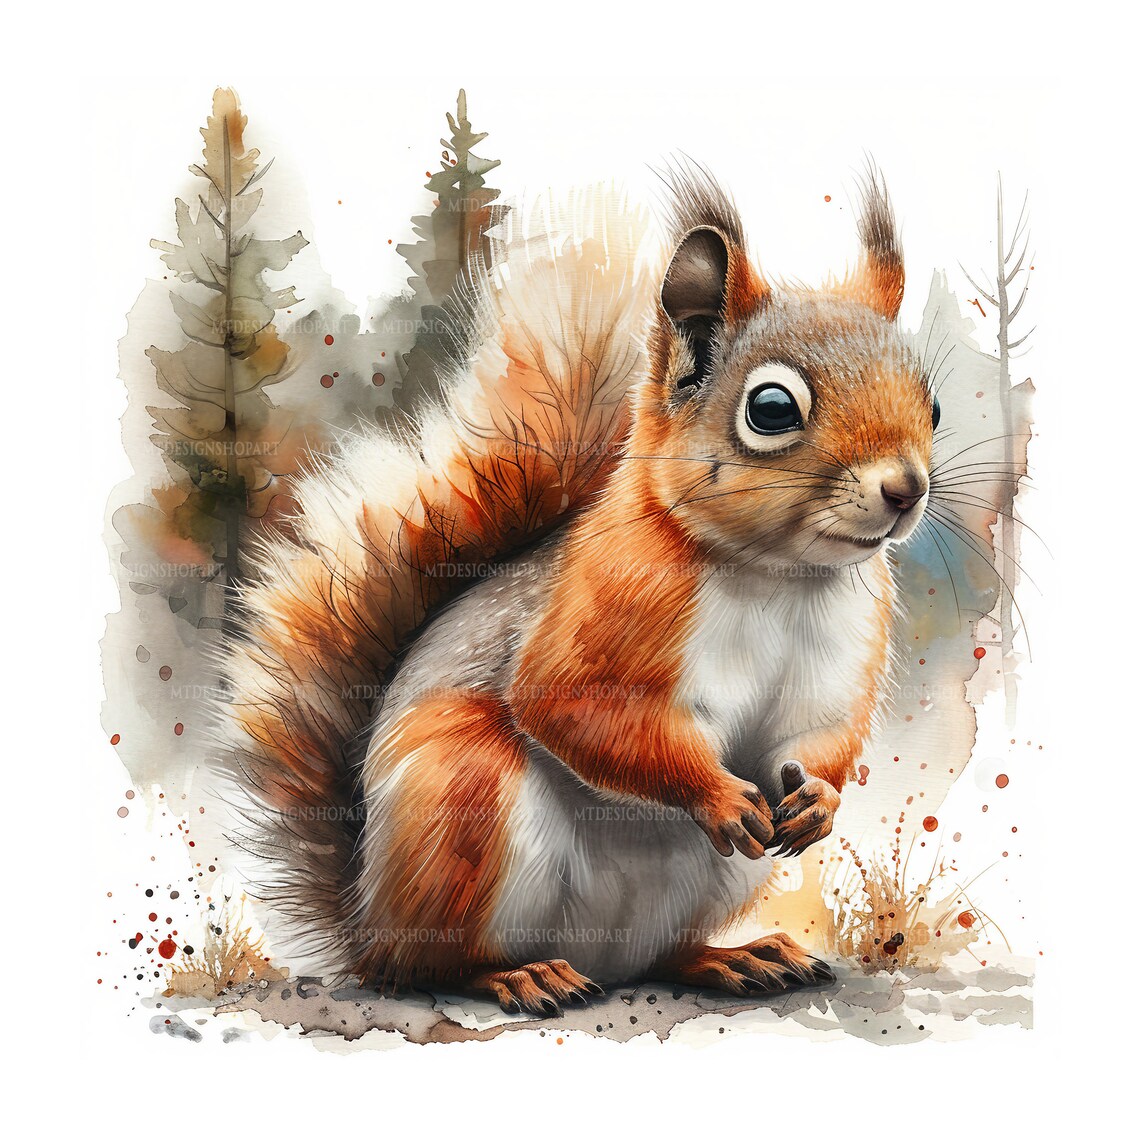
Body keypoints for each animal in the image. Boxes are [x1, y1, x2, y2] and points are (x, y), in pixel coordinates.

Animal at [223, 167, 937, 1014]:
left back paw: (731, 957)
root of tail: (367, 925)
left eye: (931, 403)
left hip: (710, 883)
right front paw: (718, 796)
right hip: (465, 797)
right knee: (436, 964)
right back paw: (515, 973)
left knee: (660, 955)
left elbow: (822, 734)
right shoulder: (605, 603)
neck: (778, 574)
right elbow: (570, 703)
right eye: (771, 410)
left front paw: (820, 802)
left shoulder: (849, 638)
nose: (906, 488)